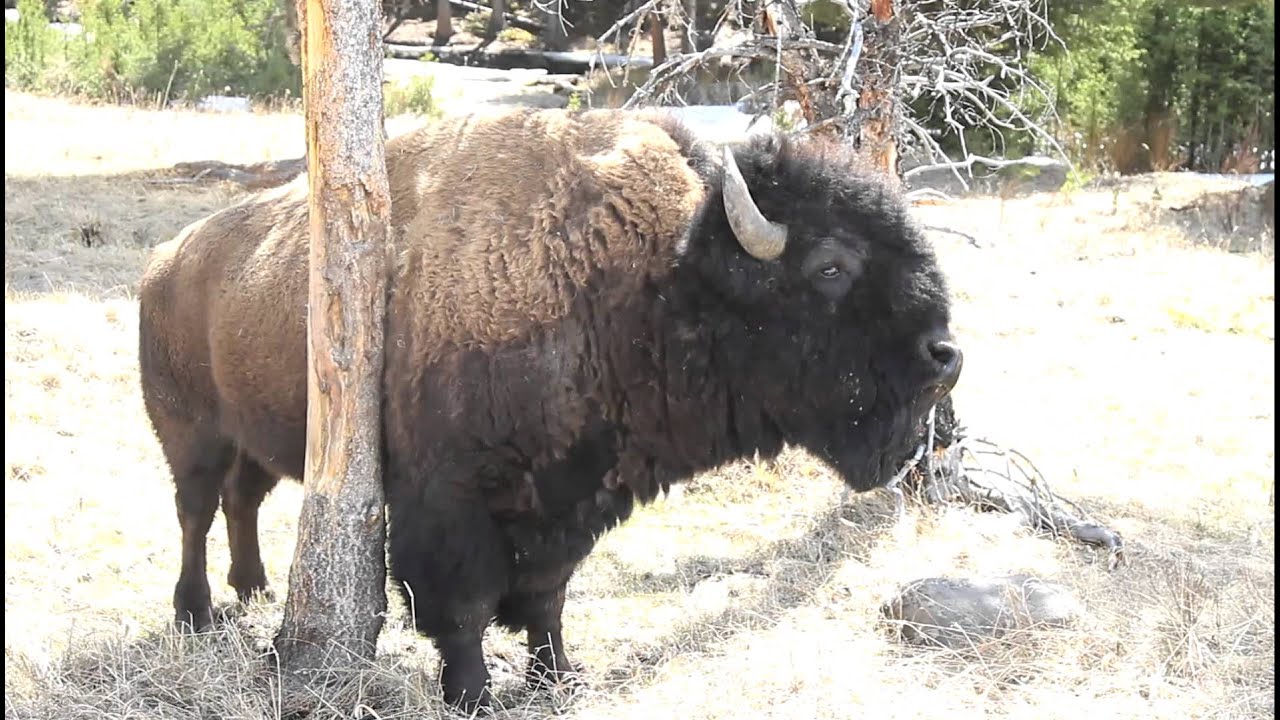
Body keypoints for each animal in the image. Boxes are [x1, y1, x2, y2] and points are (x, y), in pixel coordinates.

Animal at [138, 107, 963, 711]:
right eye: (831, 266)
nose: (944, 357)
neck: (649, 276)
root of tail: (163, 261)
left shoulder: (571, 500)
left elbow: (547, 597)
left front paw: (558, 675)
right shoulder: (452, 502)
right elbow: (463, 604)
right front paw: (472, 694)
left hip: (255, 438)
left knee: (241, 502)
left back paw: (253, 587)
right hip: (191, 434)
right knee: (194, 512)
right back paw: (196, 611)